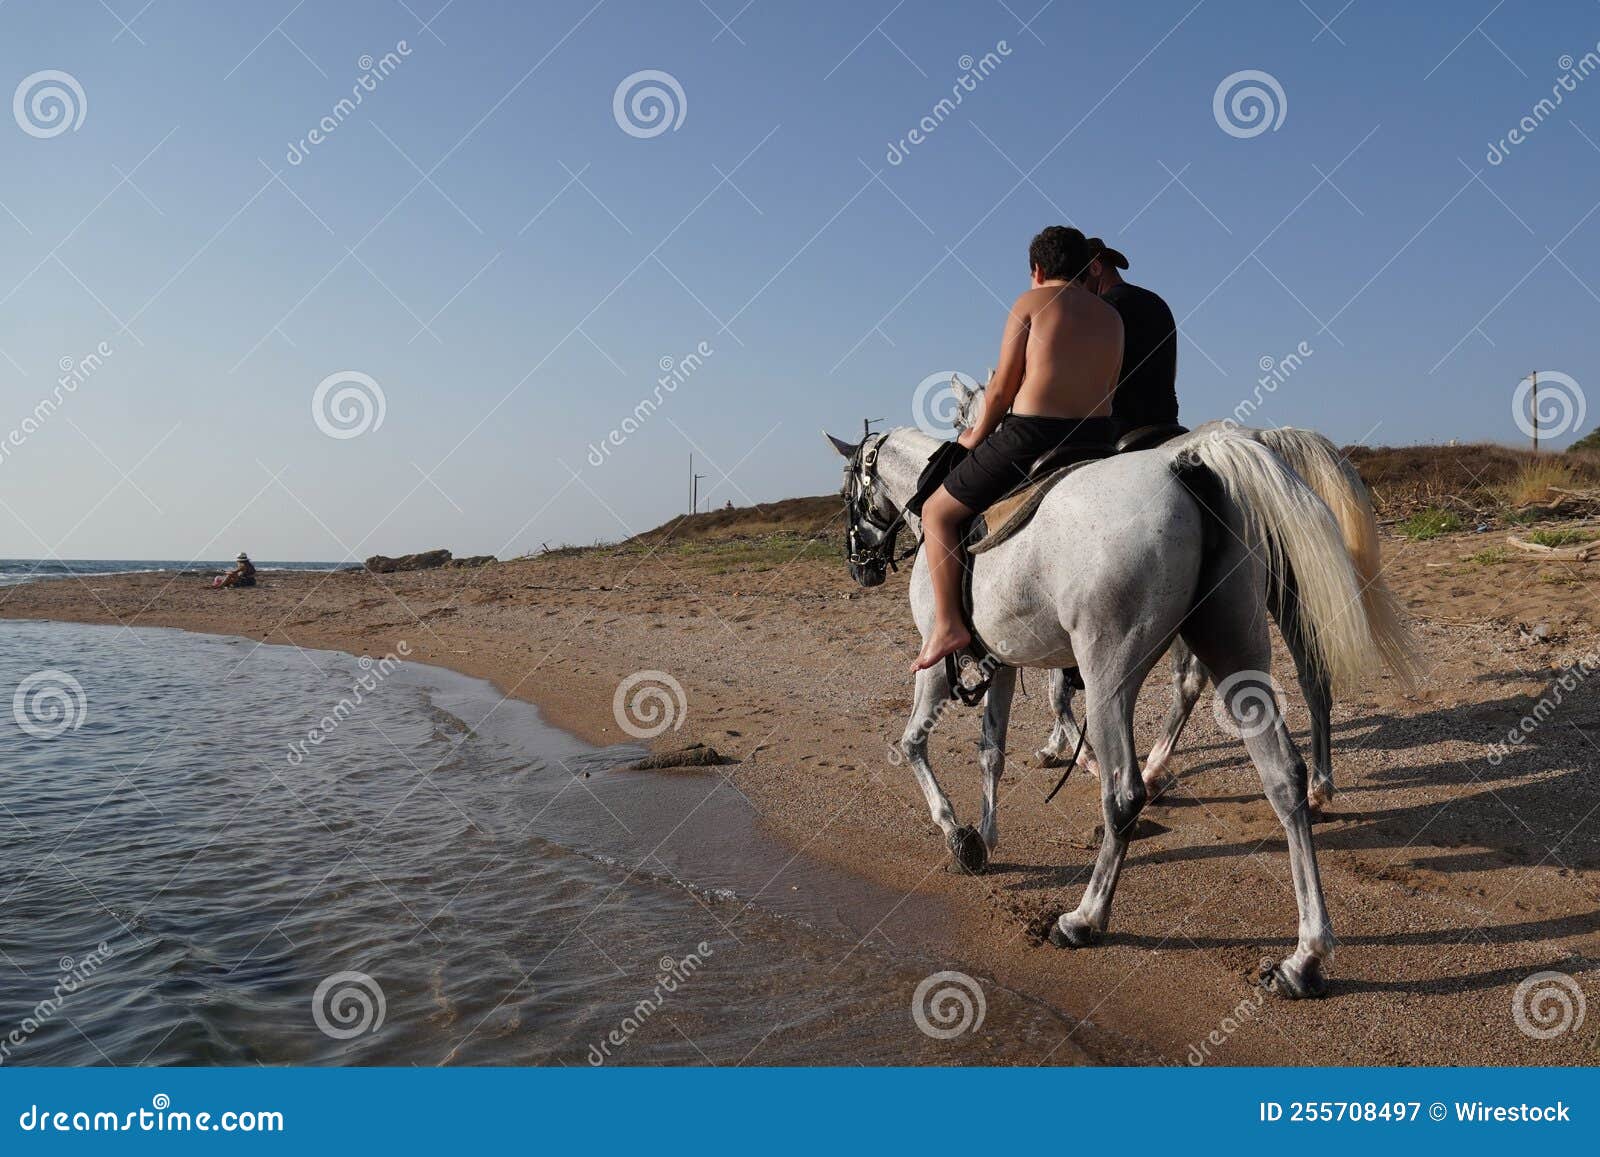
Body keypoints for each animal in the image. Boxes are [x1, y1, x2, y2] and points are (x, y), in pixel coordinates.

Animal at [947, 379, 1413, 810]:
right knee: (1312, 675)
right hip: (1284, 595)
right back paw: (1319, 785)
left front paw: (1066, 750)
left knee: (1190, 682)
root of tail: (1257, 439)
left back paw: (1155, 767)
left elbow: (1058, 692)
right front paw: (1060, 746)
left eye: (957, 419)